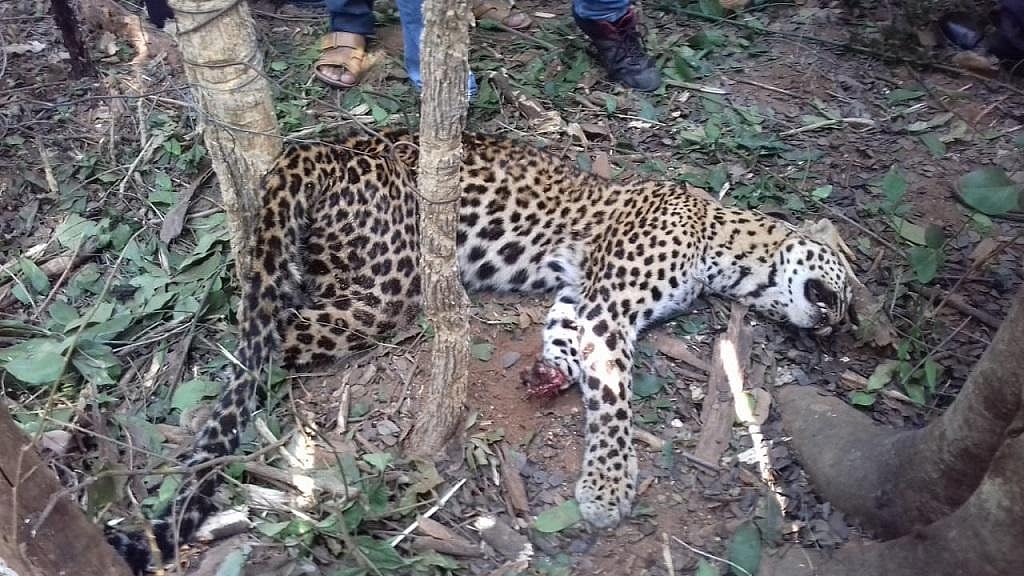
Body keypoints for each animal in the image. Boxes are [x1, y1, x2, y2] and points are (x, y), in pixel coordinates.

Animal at [107, 130, 852, 573]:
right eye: (847, 285)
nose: (835, 330)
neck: (727, 244)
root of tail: (321, 145)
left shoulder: (581, 300)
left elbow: (567, 343)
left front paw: (551, 375)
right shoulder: (610, 307)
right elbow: (613, 397)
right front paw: (608, 485)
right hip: (385, 283)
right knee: (263, 340)